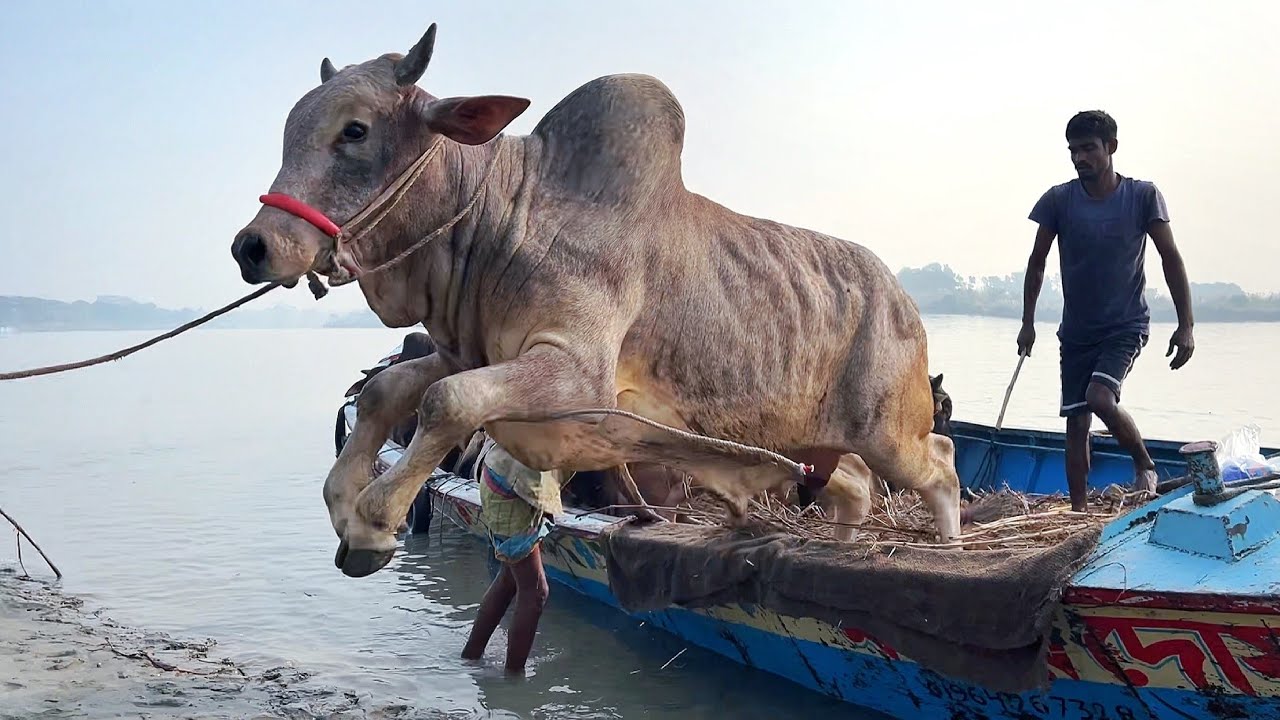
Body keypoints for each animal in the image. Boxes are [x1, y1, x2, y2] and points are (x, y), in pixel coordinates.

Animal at [229, 22, 962, 577]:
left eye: (354, 131)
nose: (254, 246)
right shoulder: (468, 350)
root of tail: (903, 300)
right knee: (854, 484)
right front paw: (346, 505)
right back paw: (842, 547)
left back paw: (949, 548)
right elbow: (389, 390)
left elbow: (446, 402)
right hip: (803, 444)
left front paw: (373, 523)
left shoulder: (575, 373)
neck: (505, 219)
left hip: (889, 430)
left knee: (943, 464)